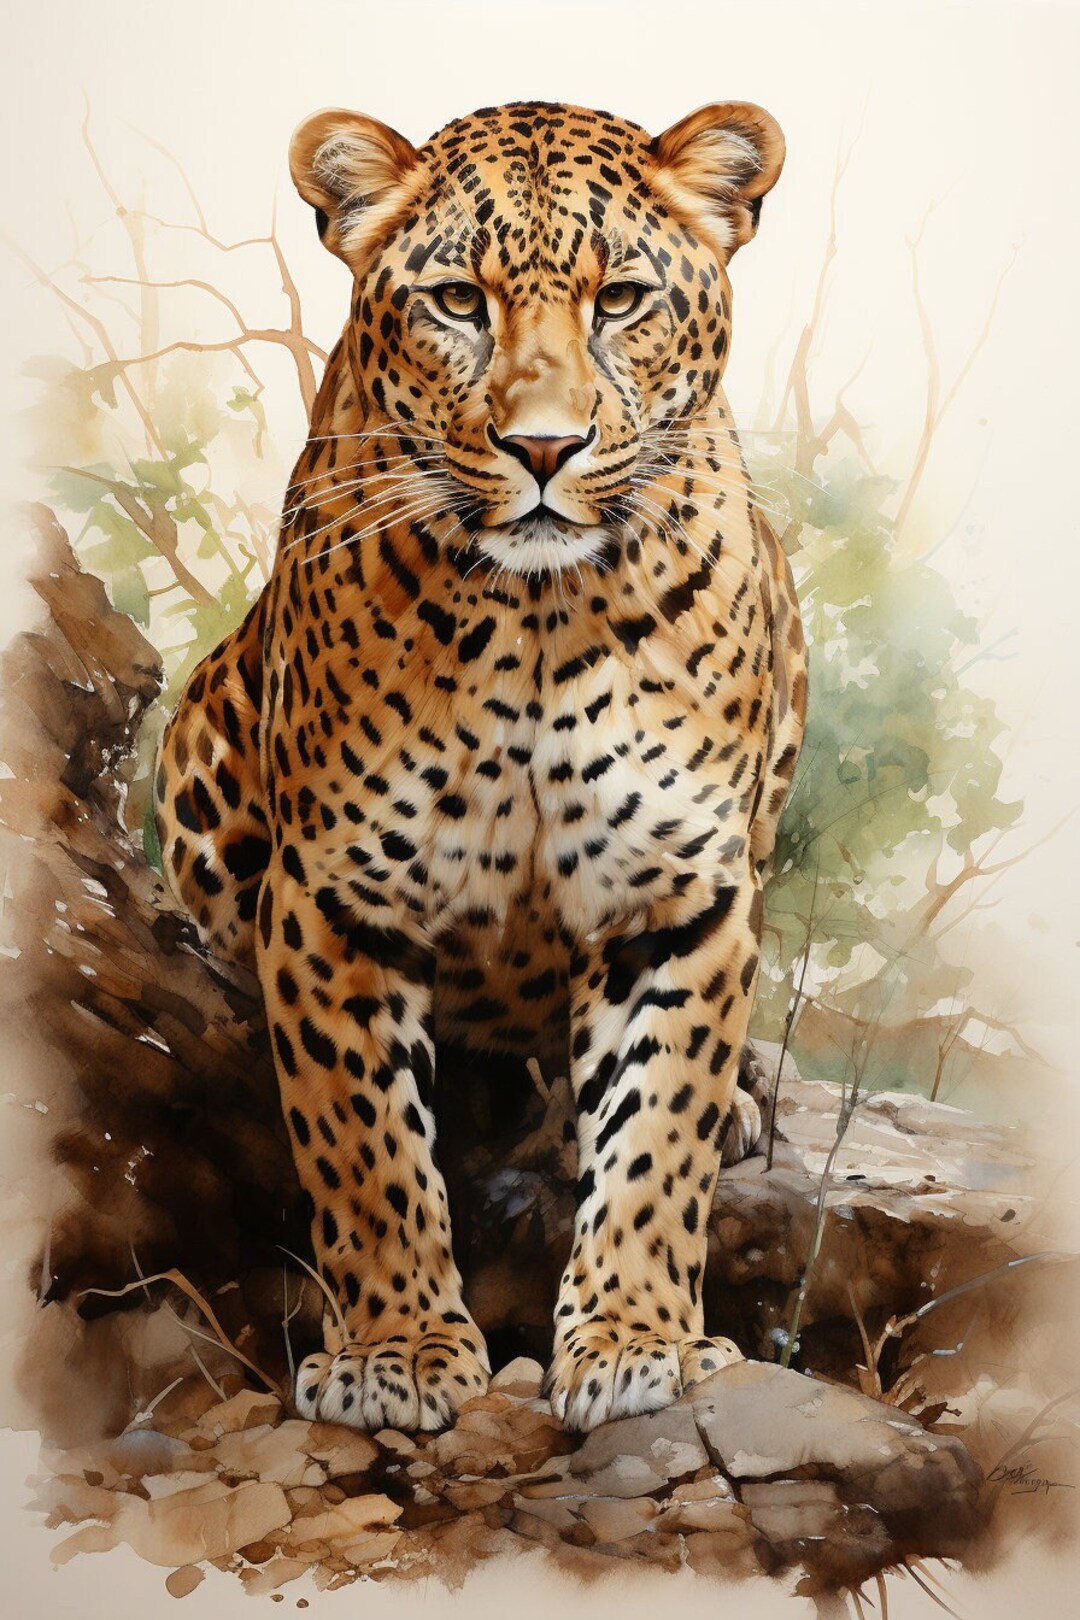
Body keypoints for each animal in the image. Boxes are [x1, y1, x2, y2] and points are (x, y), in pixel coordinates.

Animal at [154, 97, 806, 1436]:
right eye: (458, 300)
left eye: (621, 300)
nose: (544, 447)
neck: (541, 621)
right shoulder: (334, 896)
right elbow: (361, 1146)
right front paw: (395, 1353)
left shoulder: (683, 894)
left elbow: (661, 1133)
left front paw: (640, 1341)